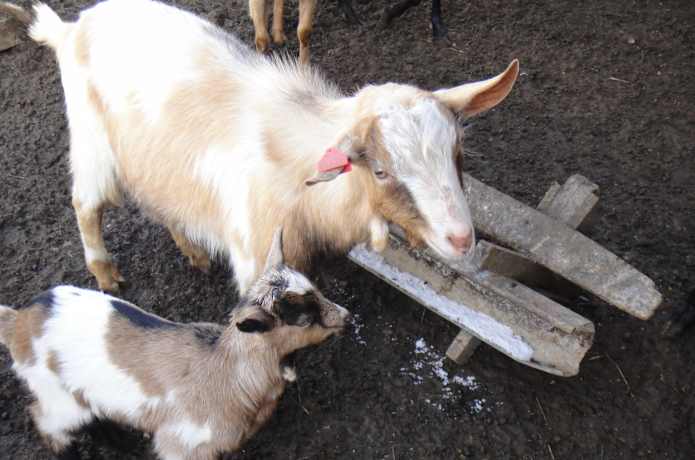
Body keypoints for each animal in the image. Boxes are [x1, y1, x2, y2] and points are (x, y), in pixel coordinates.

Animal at [0, 230, 350, 460]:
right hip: (58, 397)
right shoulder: (181, 445)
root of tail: (19, 321)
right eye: (302, 317)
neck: (228, 371)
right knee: (48, 423)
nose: (345, 316)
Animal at [1, 0, 518, 295]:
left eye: (457, 155)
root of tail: (71, 28)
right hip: (92, 142)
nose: (462, 239)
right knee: (86, 204)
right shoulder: (254, 254)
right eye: (381, 170)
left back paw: (193, 251)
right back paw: (106, 275)